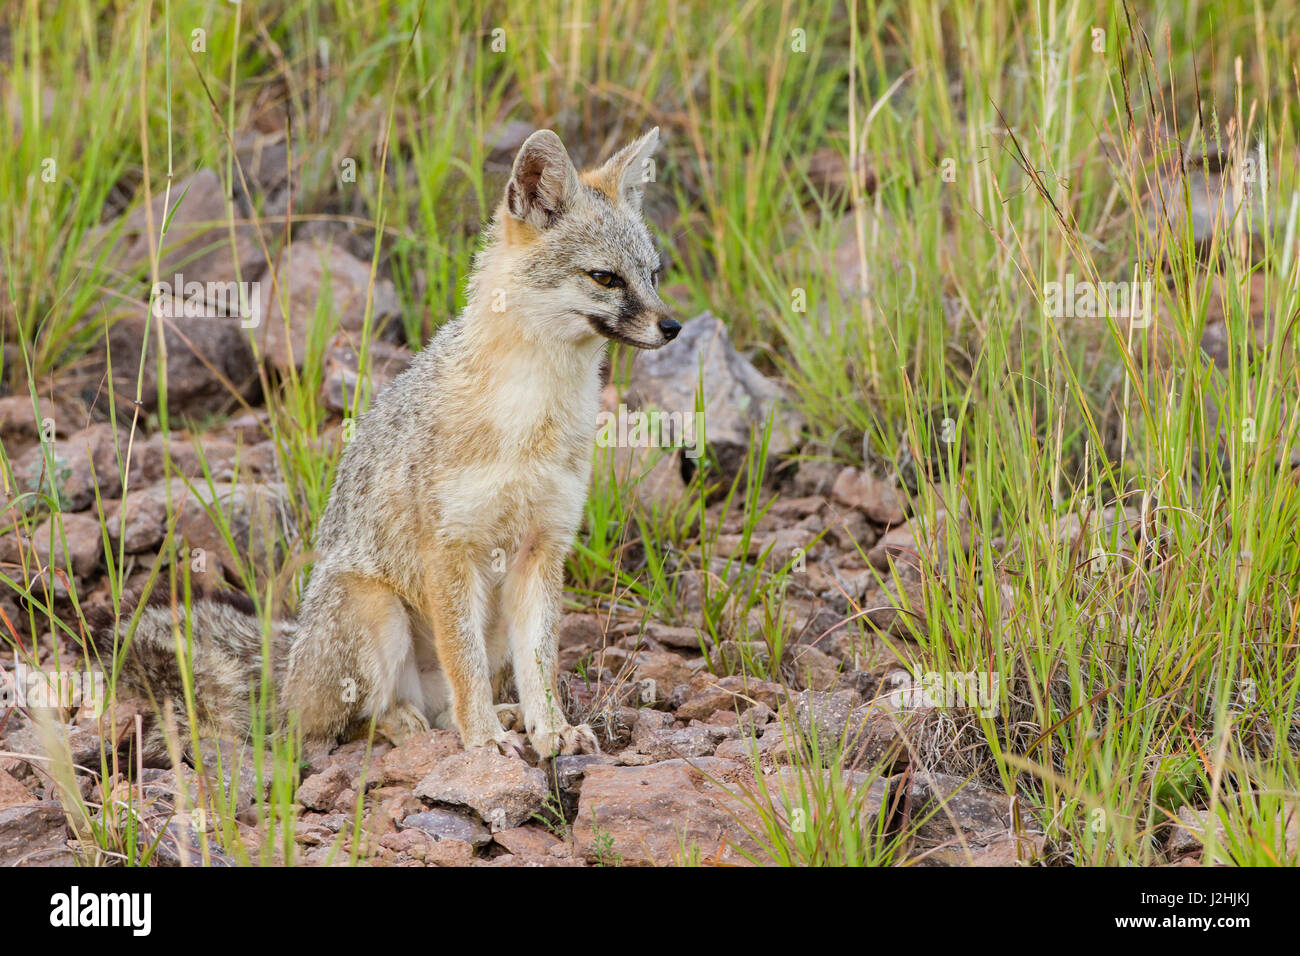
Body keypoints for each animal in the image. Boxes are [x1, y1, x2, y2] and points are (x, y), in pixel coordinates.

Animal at [94, 127, 680, 761]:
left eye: (653, 275)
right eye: (605, 278)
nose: (673, 327)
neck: (530, 419)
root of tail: (290, 658)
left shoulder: (542, 548)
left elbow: (540, 664)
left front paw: (550, 730)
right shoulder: (449, 551)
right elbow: (465, 665)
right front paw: (485, 741)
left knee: (440, 702)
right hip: (376, 610)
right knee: (334, 726)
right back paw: (406, 723)